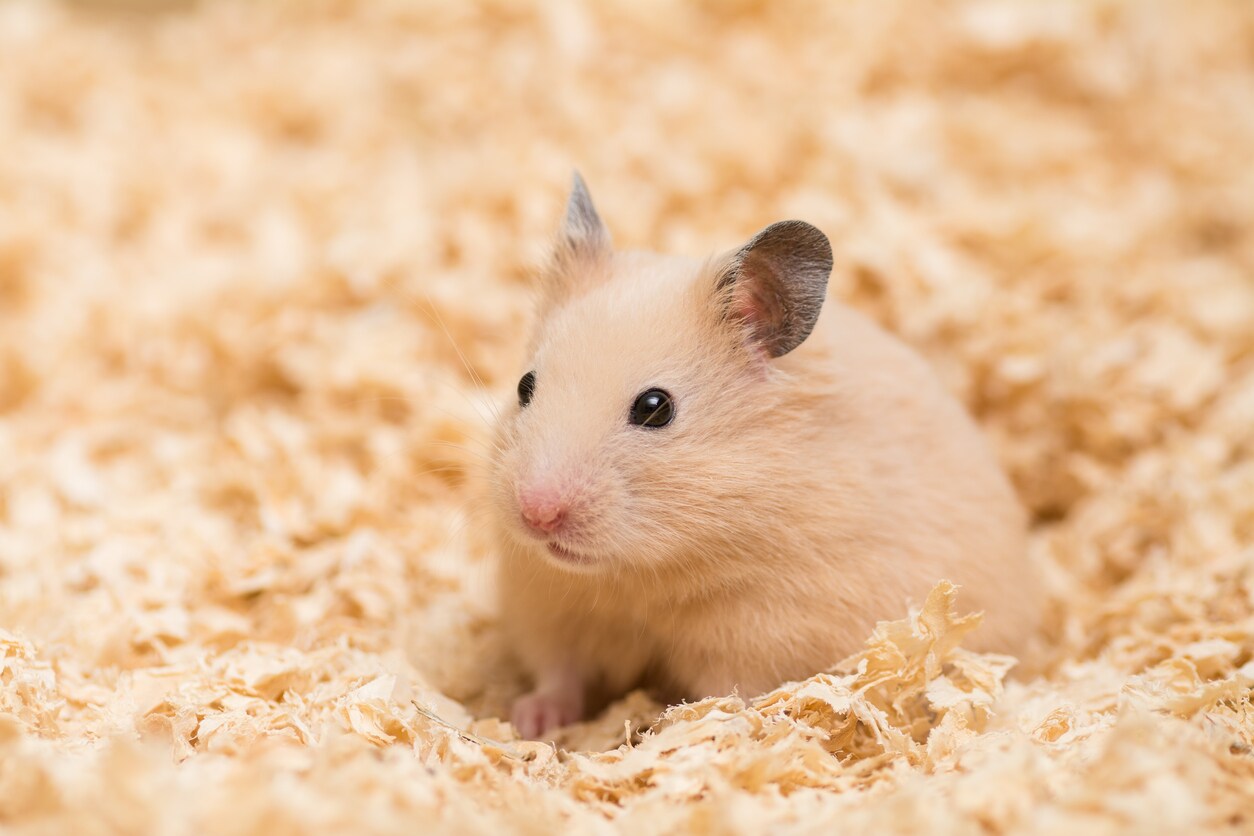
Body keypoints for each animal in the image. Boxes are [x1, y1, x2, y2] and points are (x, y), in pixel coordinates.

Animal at [490, 175, 1042, 739]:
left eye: (655, 408)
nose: (537, 514)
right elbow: (560, 672)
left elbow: (727, 694)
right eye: (525, 385)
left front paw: (684, 727)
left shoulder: (764, 634)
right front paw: (528, 721)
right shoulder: (550, 603)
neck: (636, 577)